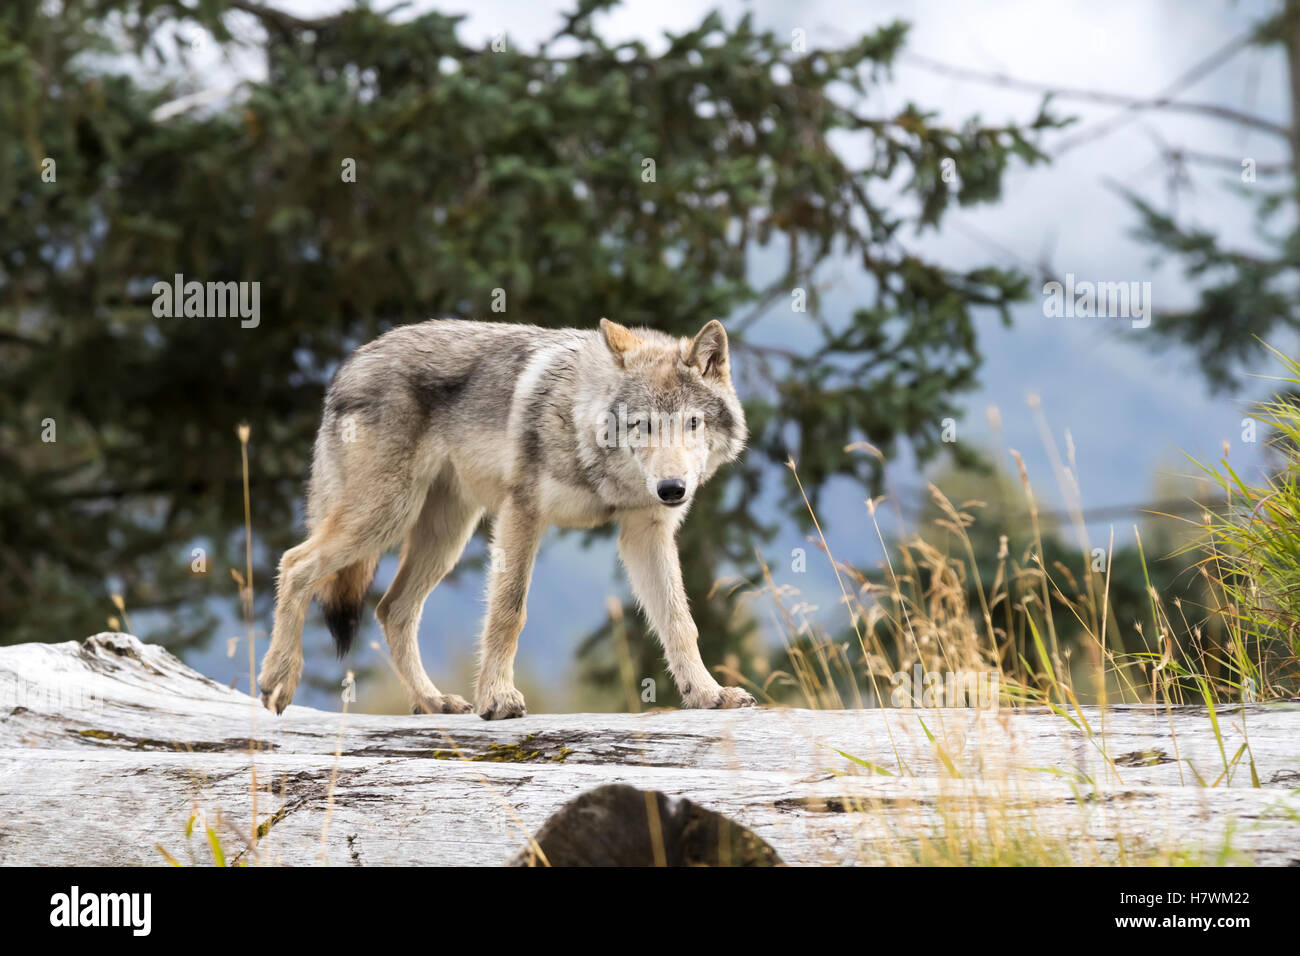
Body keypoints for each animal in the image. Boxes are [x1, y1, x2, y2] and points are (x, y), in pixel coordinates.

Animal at [257, 317, 756, 719]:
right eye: (642, 425)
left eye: (692, 423)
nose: (672, 489)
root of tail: (352, 361)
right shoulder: (522, 514)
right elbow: (508, 612)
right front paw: (497, 699)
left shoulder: (645, 532)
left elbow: (679, 622)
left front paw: (708, 694)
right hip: (385, 517)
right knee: (295, 563)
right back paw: (279, 679)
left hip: (445, 538)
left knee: (391, 609)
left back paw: (433, 701)